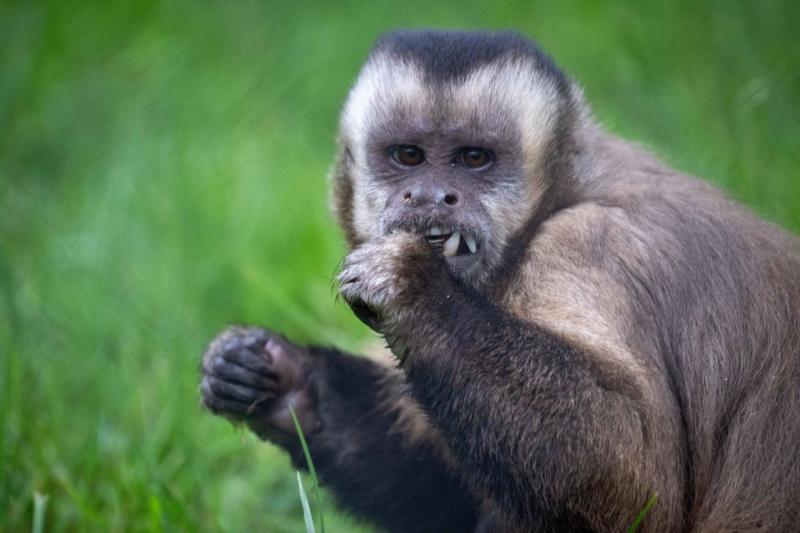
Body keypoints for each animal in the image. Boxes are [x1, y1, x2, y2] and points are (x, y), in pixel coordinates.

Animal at [200, 30, 800, 532]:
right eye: (409, 155)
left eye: (473, 159)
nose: (429, 195)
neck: (565, 195)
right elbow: (446, 496)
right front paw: (283, 381)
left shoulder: (592, 245)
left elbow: (637, 486)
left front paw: (411, 287)